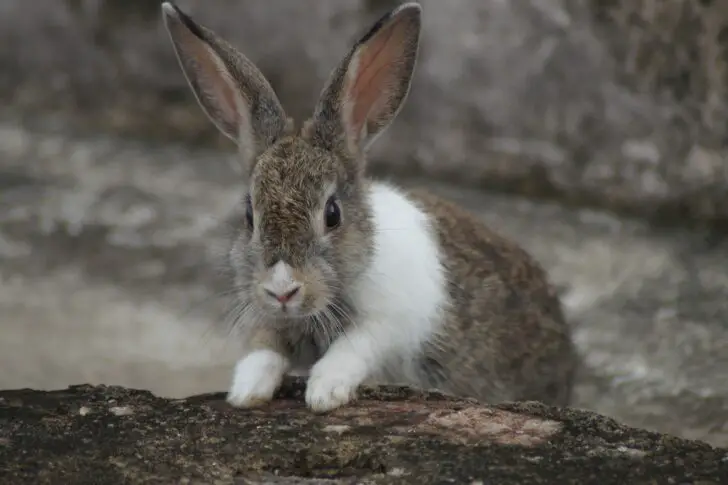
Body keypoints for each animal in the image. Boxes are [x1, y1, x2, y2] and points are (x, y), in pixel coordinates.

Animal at [161, 1, 577, 412]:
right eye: (250, 216)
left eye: (332, 214)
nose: (282, 290)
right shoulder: (268, 318)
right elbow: (263, 349)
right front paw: (246, 391)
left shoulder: (388, 322)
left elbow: (354, 347)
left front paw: (324, 392)